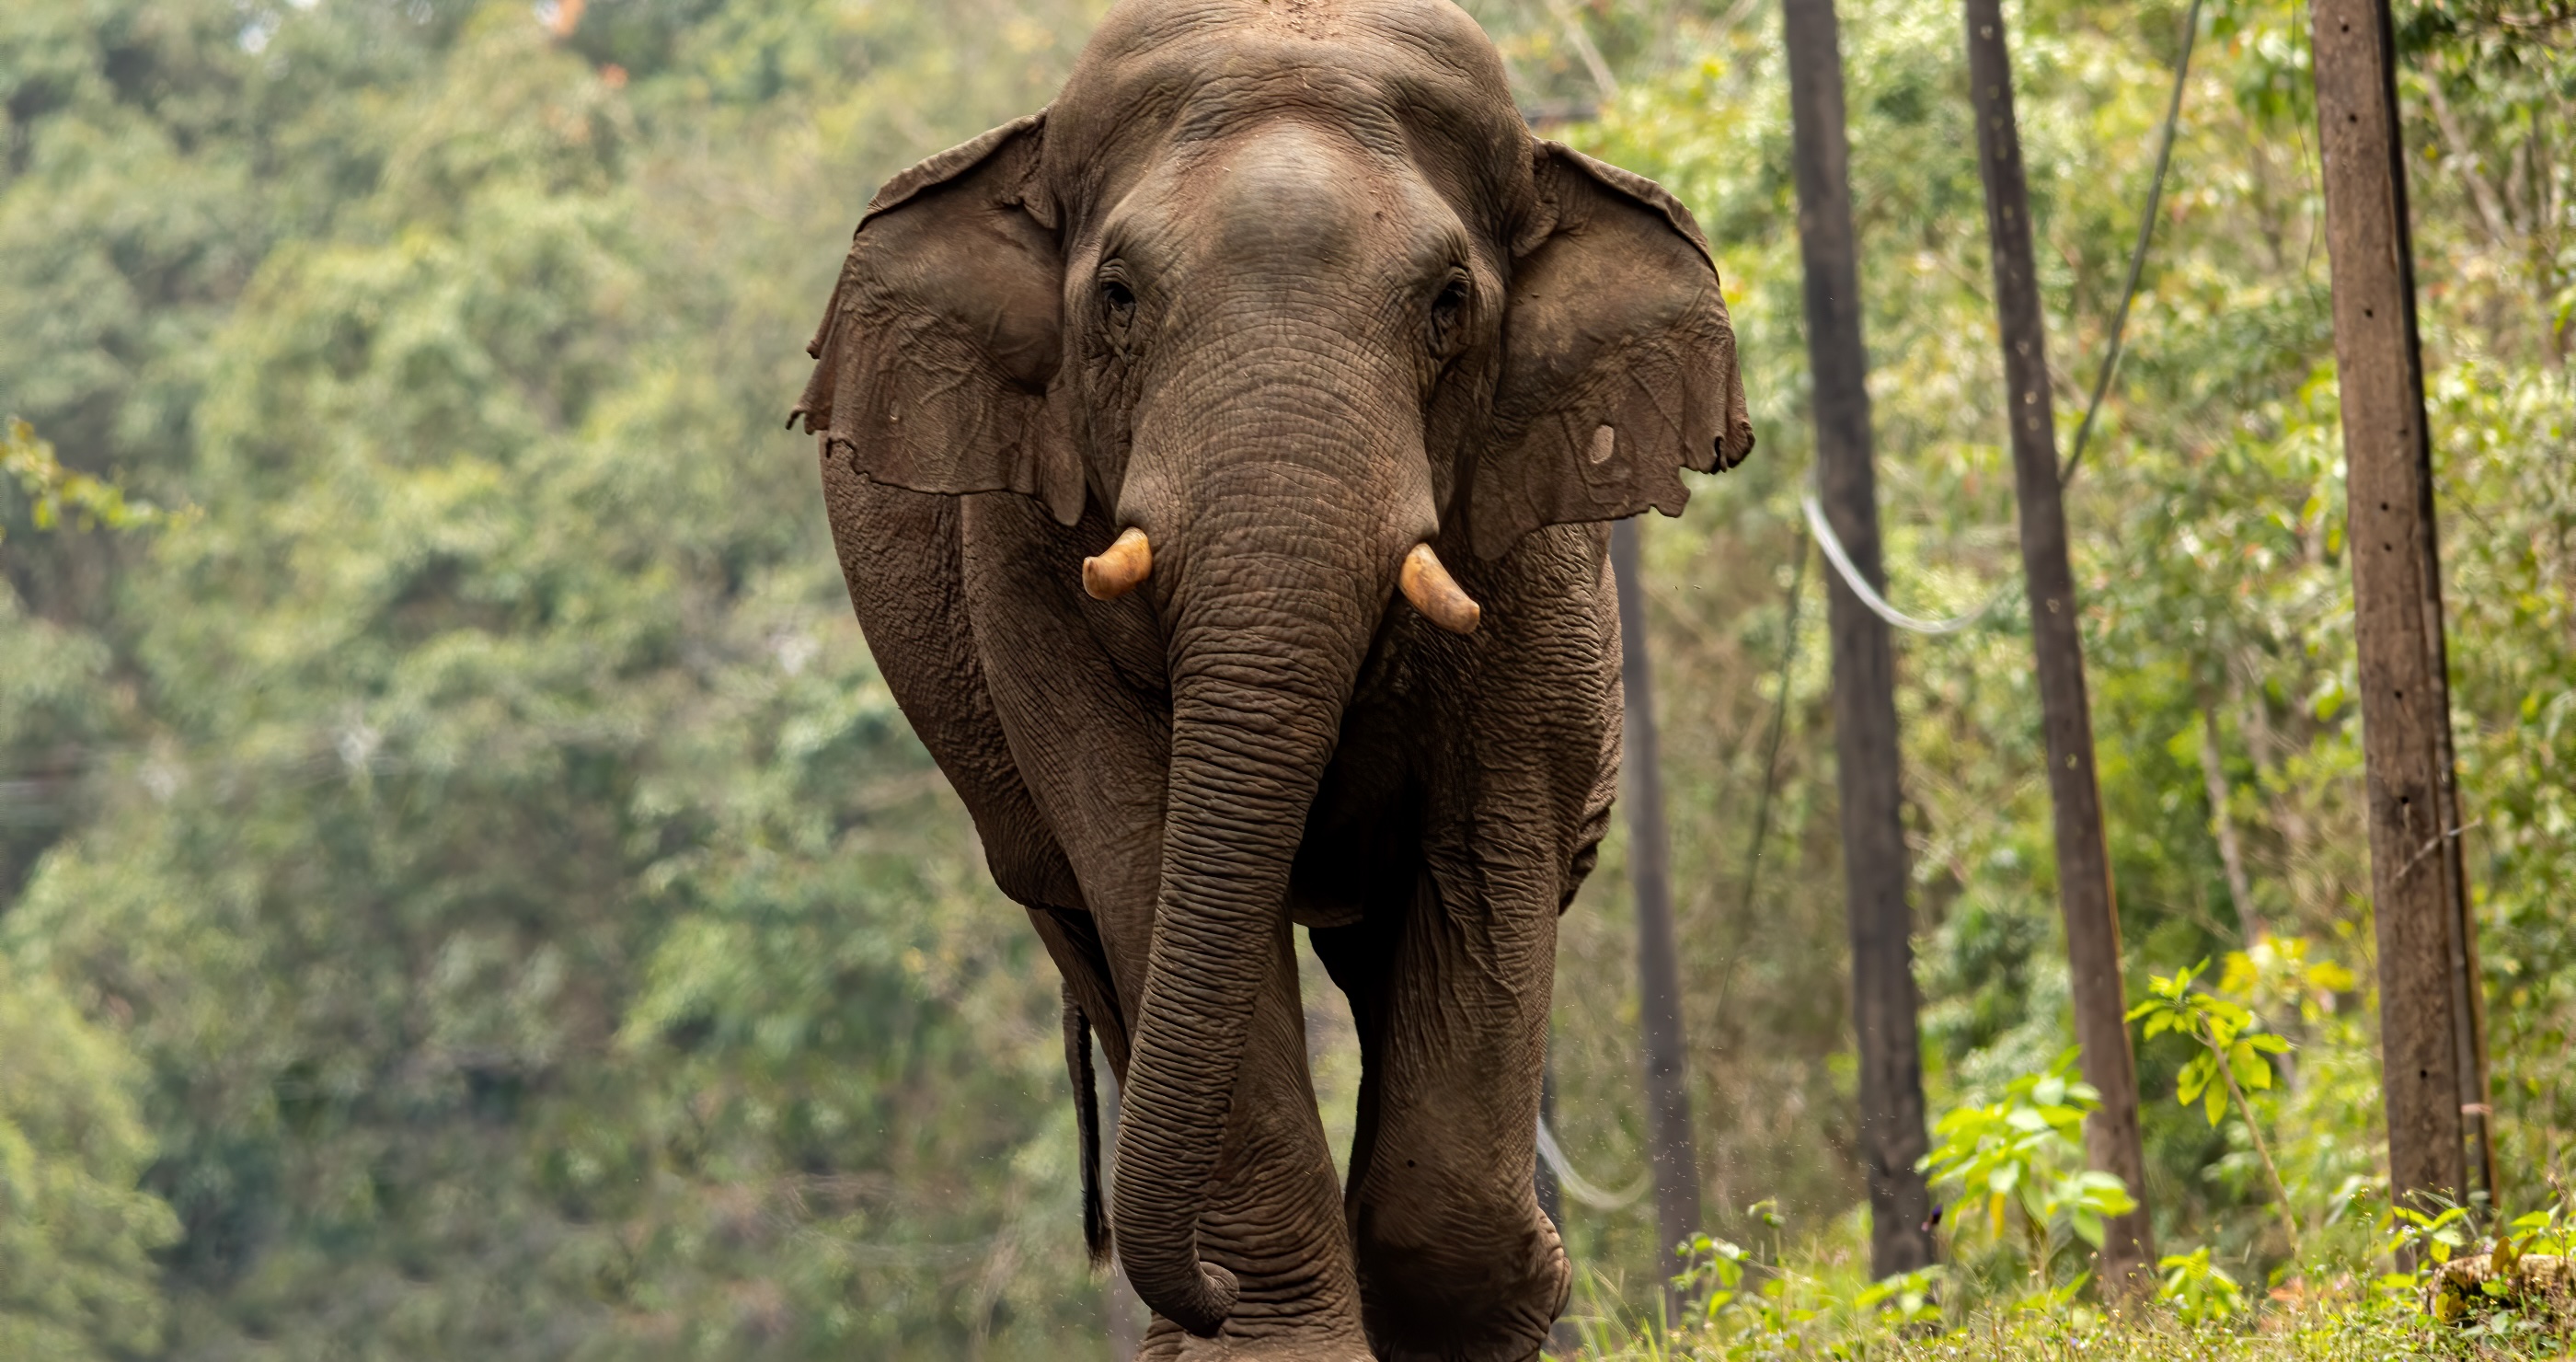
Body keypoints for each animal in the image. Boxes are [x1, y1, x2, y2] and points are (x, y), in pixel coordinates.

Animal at [790, 1, 1753, 1356]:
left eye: (1450, 302)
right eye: (1118, 297)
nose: (1211, 1287)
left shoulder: (1534, 557)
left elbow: (1484, 855)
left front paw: (1493, 1313)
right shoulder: (1025, 553)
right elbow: (1143, 851)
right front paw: (1272, 1342)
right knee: (1099, 940)